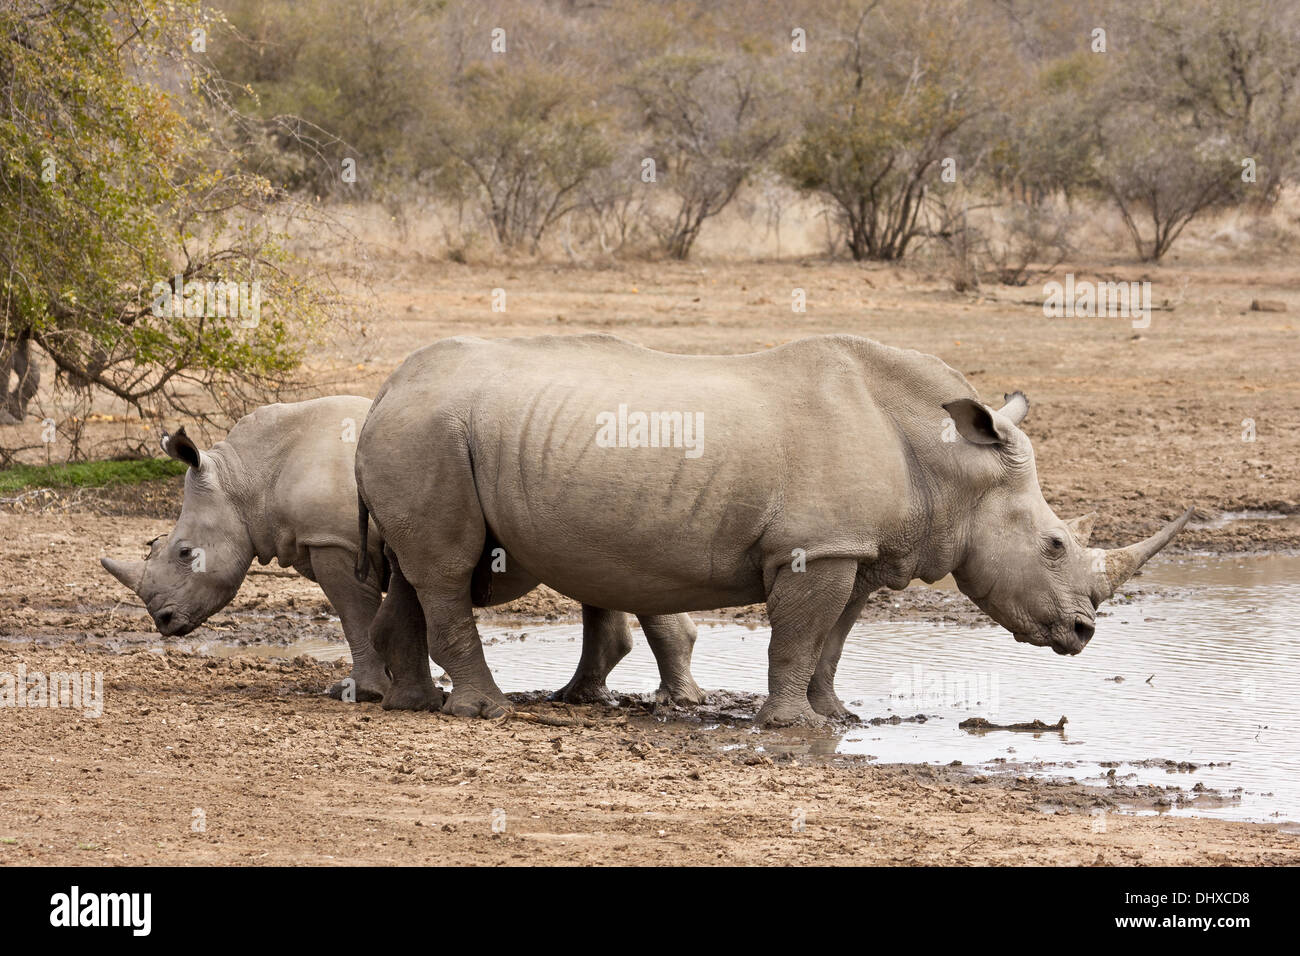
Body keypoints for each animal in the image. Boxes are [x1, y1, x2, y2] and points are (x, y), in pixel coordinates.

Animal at [99, 396, 703, 707]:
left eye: (183, 553)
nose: (163, 622)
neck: (247, 479)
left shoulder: (336, 543)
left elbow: (353, 617)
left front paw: (363, 692)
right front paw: (403, 686)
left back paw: (672, 703)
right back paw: (577, 697)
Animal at [355, 333, 1191, 725]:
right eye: (1054, 544)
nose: (1083, 633)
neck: (952, 466)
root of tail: (386, 387)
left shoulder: (854, 551)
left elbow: (834, 637)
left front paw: (837, 715)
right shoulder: (814, 548)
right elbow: (797, 635)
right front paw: (790, 726)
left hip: (428, 430)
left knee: (415, 572)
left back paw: (411, 705)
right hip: (428, 431)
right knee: (446, 569)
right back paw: (487, 711)